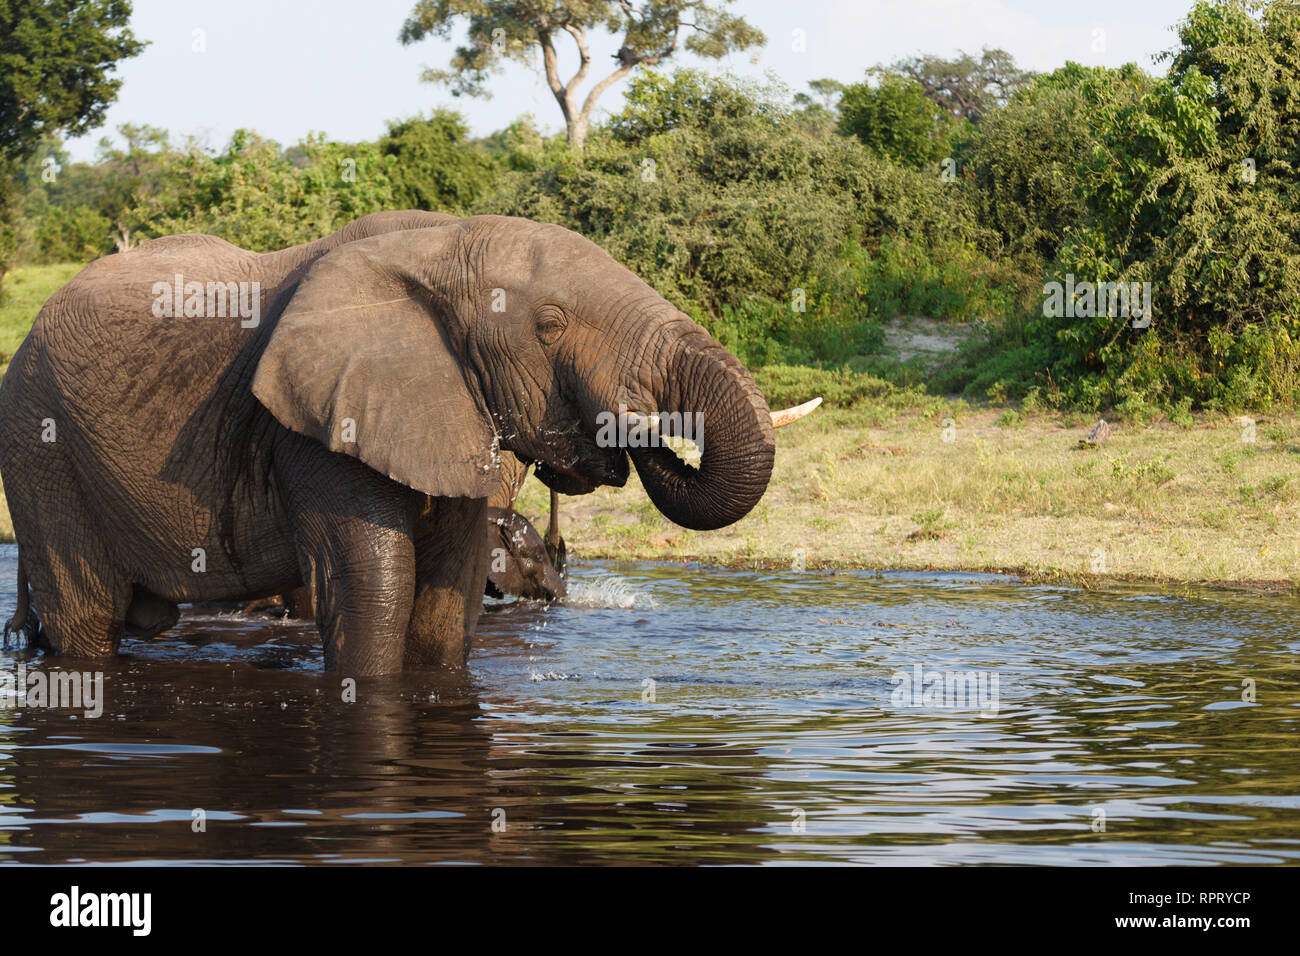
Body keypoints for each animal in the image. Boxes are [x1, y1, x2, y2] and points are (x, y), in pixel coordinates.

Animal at [0, 210, 819, 675]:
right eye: (549, 324)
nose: (639, 428)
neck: (439, 249)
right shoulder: (314, 428)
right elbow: (374, 589)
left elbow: (448, 596)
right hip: (40, 449)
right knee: (86, 622)